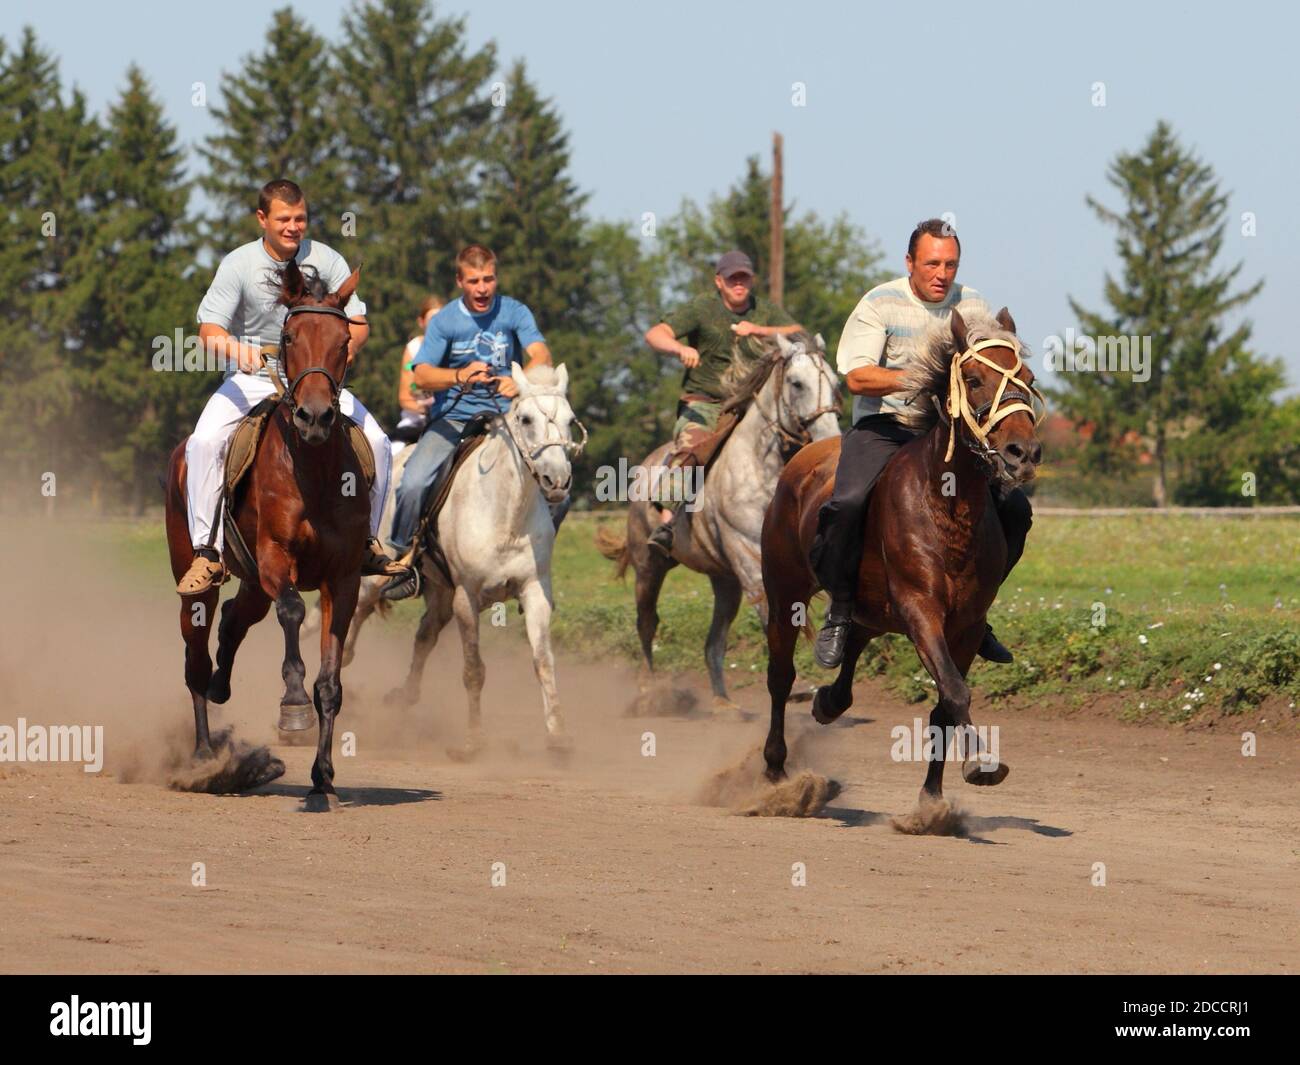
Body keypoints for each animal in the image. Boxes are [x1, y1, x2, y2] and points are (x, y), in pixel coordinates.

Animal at [164, 260, 369, 801]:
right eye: (290, 336)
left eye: (344, 340)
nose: (315, 416)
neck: (315, 470)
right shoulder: (278, 559)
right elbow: (294, 613)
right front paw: (292, 702)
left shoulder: (343, 579)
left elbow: (330, 684)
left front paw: (324, 776)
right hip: (201, 580)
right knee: (195, 661)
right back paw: (204, 761)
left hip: (254, 582)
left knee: (235, 620)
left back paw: (222, 691)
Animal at [347, 363, 584, 753]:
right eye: (526, 419)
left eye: (569, 419)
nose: (557, 480)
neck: (507, 516)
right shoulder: (466, 596)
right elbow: (474, 669)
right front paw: (473, 740)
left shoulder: (534, 591)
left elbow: (543, 662)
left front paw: (558, 736)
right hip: (378, 580)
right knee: (355, 621)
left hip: (441, 593)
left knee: (424, 636)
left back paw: (402, 697)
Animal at [596, 331, 842, 711]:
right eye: (797, 383)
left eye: (834, 382)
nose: (830, 438)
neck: (760, 467)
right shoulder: (748, 557)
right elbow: (773, 614)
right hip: (649, 567)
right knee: (647, 623)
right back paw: (649, 691)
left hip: (723, 581)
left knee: (713, 641)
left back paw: (723, 702)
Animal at [759, 308, 1044, 800]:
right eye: (972, 379)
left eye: (1025, 377)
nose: (1021, 452)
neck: (948, 506)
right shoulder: (919, 608)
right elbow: (955, 690)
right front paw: (980, 764)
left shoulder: (967, 624)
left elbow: (947, 702)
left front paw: (932, 799)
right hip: (785, 594)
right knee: (781, 676)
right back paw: (778, 769)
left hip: (873, 609)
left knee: (852, 645)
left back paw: (828, 701)